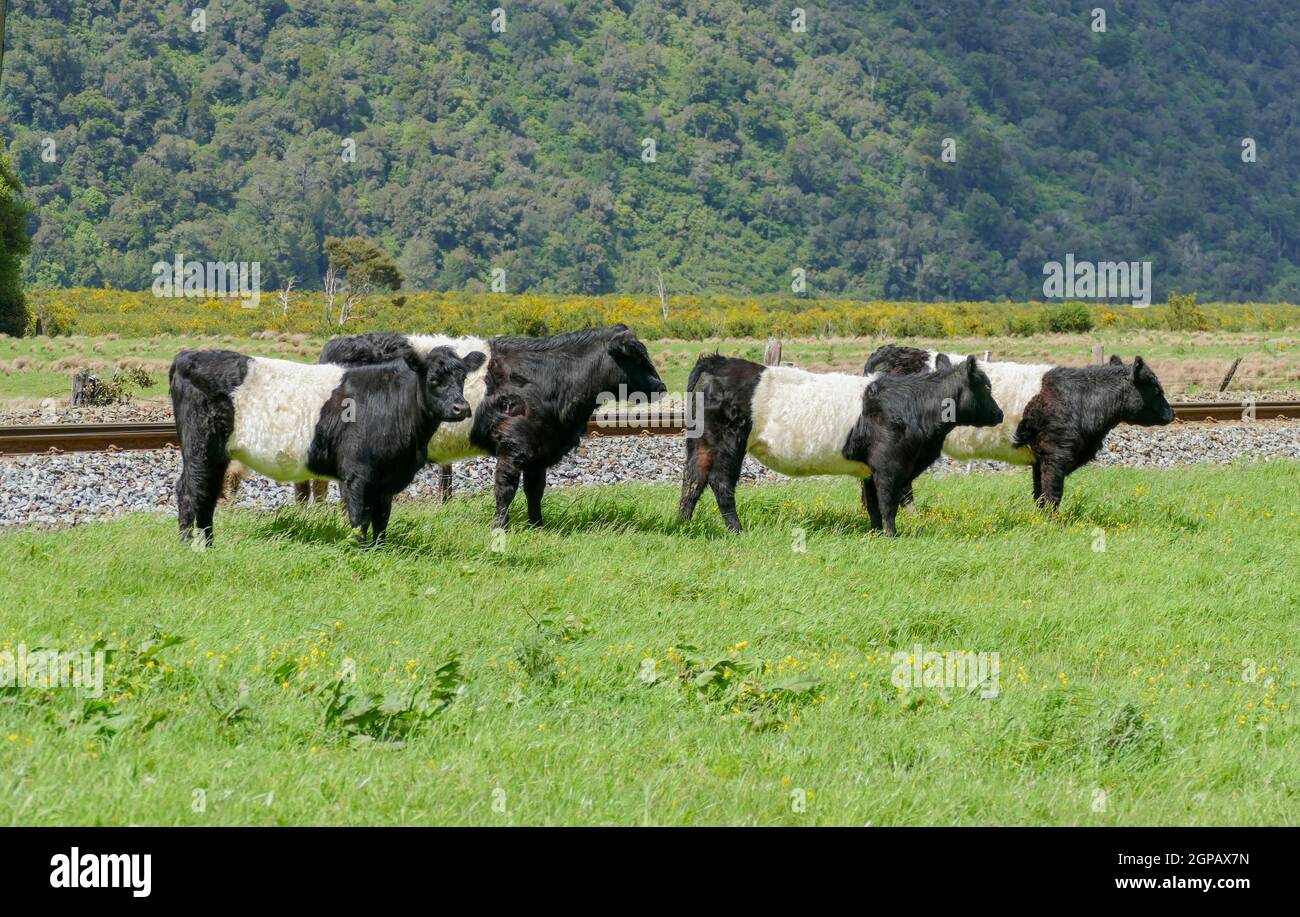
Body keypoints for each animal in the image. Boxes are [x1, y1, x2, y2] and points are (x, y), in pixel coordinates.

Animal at [169, 345, 485, 546]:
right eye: (434, 379)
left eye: (462, 378)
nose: (461, 408)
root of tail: (188, 355)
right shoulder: (357, 475)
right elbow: (359, 519)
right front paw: (358, 551)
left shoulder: (385, 480)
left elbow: (381, 520)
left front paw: (380, 550)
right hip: (199, 446)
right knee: (189, 489)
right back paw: (187, 546)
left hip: (217, 455)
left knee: (207, 493)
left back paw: (208, 546)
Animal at [276, 324, 667, 529]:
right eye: (635, 356)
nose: (662, 385)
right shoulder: (513, 445)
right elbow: (505, 490)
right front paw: (501, 528)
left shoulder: (538, 449)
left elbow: (535, 491)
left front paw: (537, 526)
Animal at [679, 353, 1003, 534]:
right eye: (987, 387)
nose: (1000, 414)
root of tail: (719, 361)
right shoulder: (890, 466)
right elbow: (888, 502)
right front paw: (892, 535)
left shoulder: (872, 469)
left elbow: (873, 504)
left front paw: (875, 534)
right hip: (729, 441)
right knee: (720, 482)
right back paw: (736, 530)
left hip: (702, 442)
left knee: (693, 479)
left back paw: (684, 524)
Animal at [864, 345, 1175, 510]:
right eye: (1155, 388)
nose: (1172, 414)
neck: (1082, 396)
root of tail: (891, 351)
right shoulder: (1056, 453)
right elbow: (1052, 494)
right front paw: (1054, 525)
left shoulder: (1040, 457)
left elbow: (1039, 495)